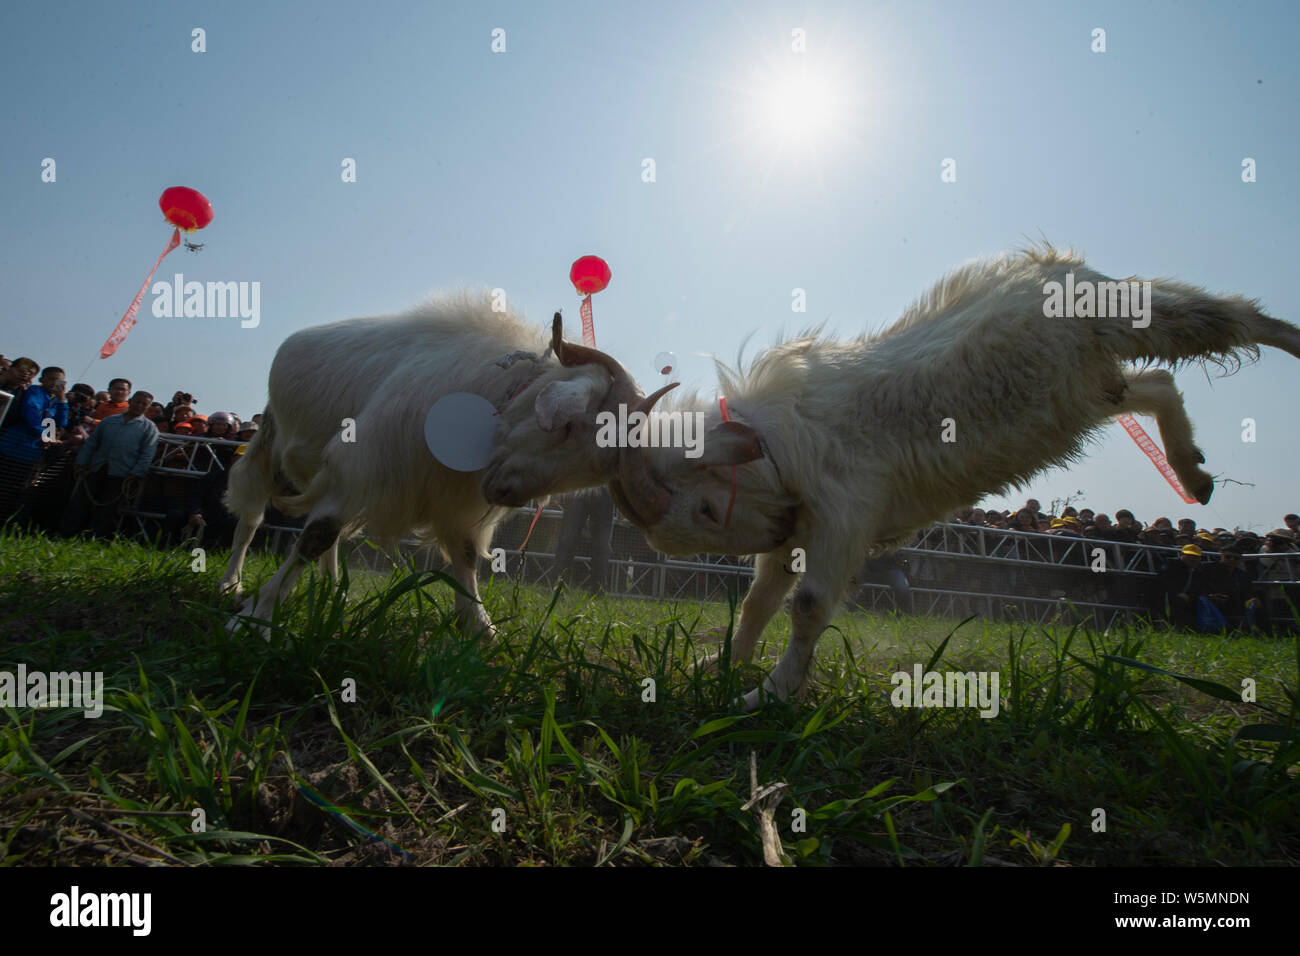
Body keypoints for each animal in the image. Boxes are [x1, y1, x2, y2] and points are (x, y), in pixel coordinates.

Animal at [220, 291, 642, 637]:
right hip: (273, 446)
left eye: (595, 468)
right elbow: (316, 536)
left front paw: (481, 626)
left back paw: (333, 589)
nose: (504, 493)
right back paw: (231, 583)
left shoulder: (452, 500)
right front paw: (256, 617)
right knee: (253, 516)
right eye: (568, 426)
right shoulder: (361, 464)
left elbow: (465, 556)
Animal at [610, 245, 1300, 709]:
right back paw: (1195, 475)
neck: (782, 441)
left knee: (1220, 317)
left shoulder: (843, 512)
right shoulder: (799, 528)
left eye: (702, 509)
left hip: (1117, 317)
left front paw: (769, 696)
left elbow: (806, 607)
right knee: (1154, 382)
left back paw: (1288, 339)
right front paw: (720, 664)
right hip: (1083, 388)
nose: (773, 523)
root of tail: (1042, 266)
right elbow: (758, 601)